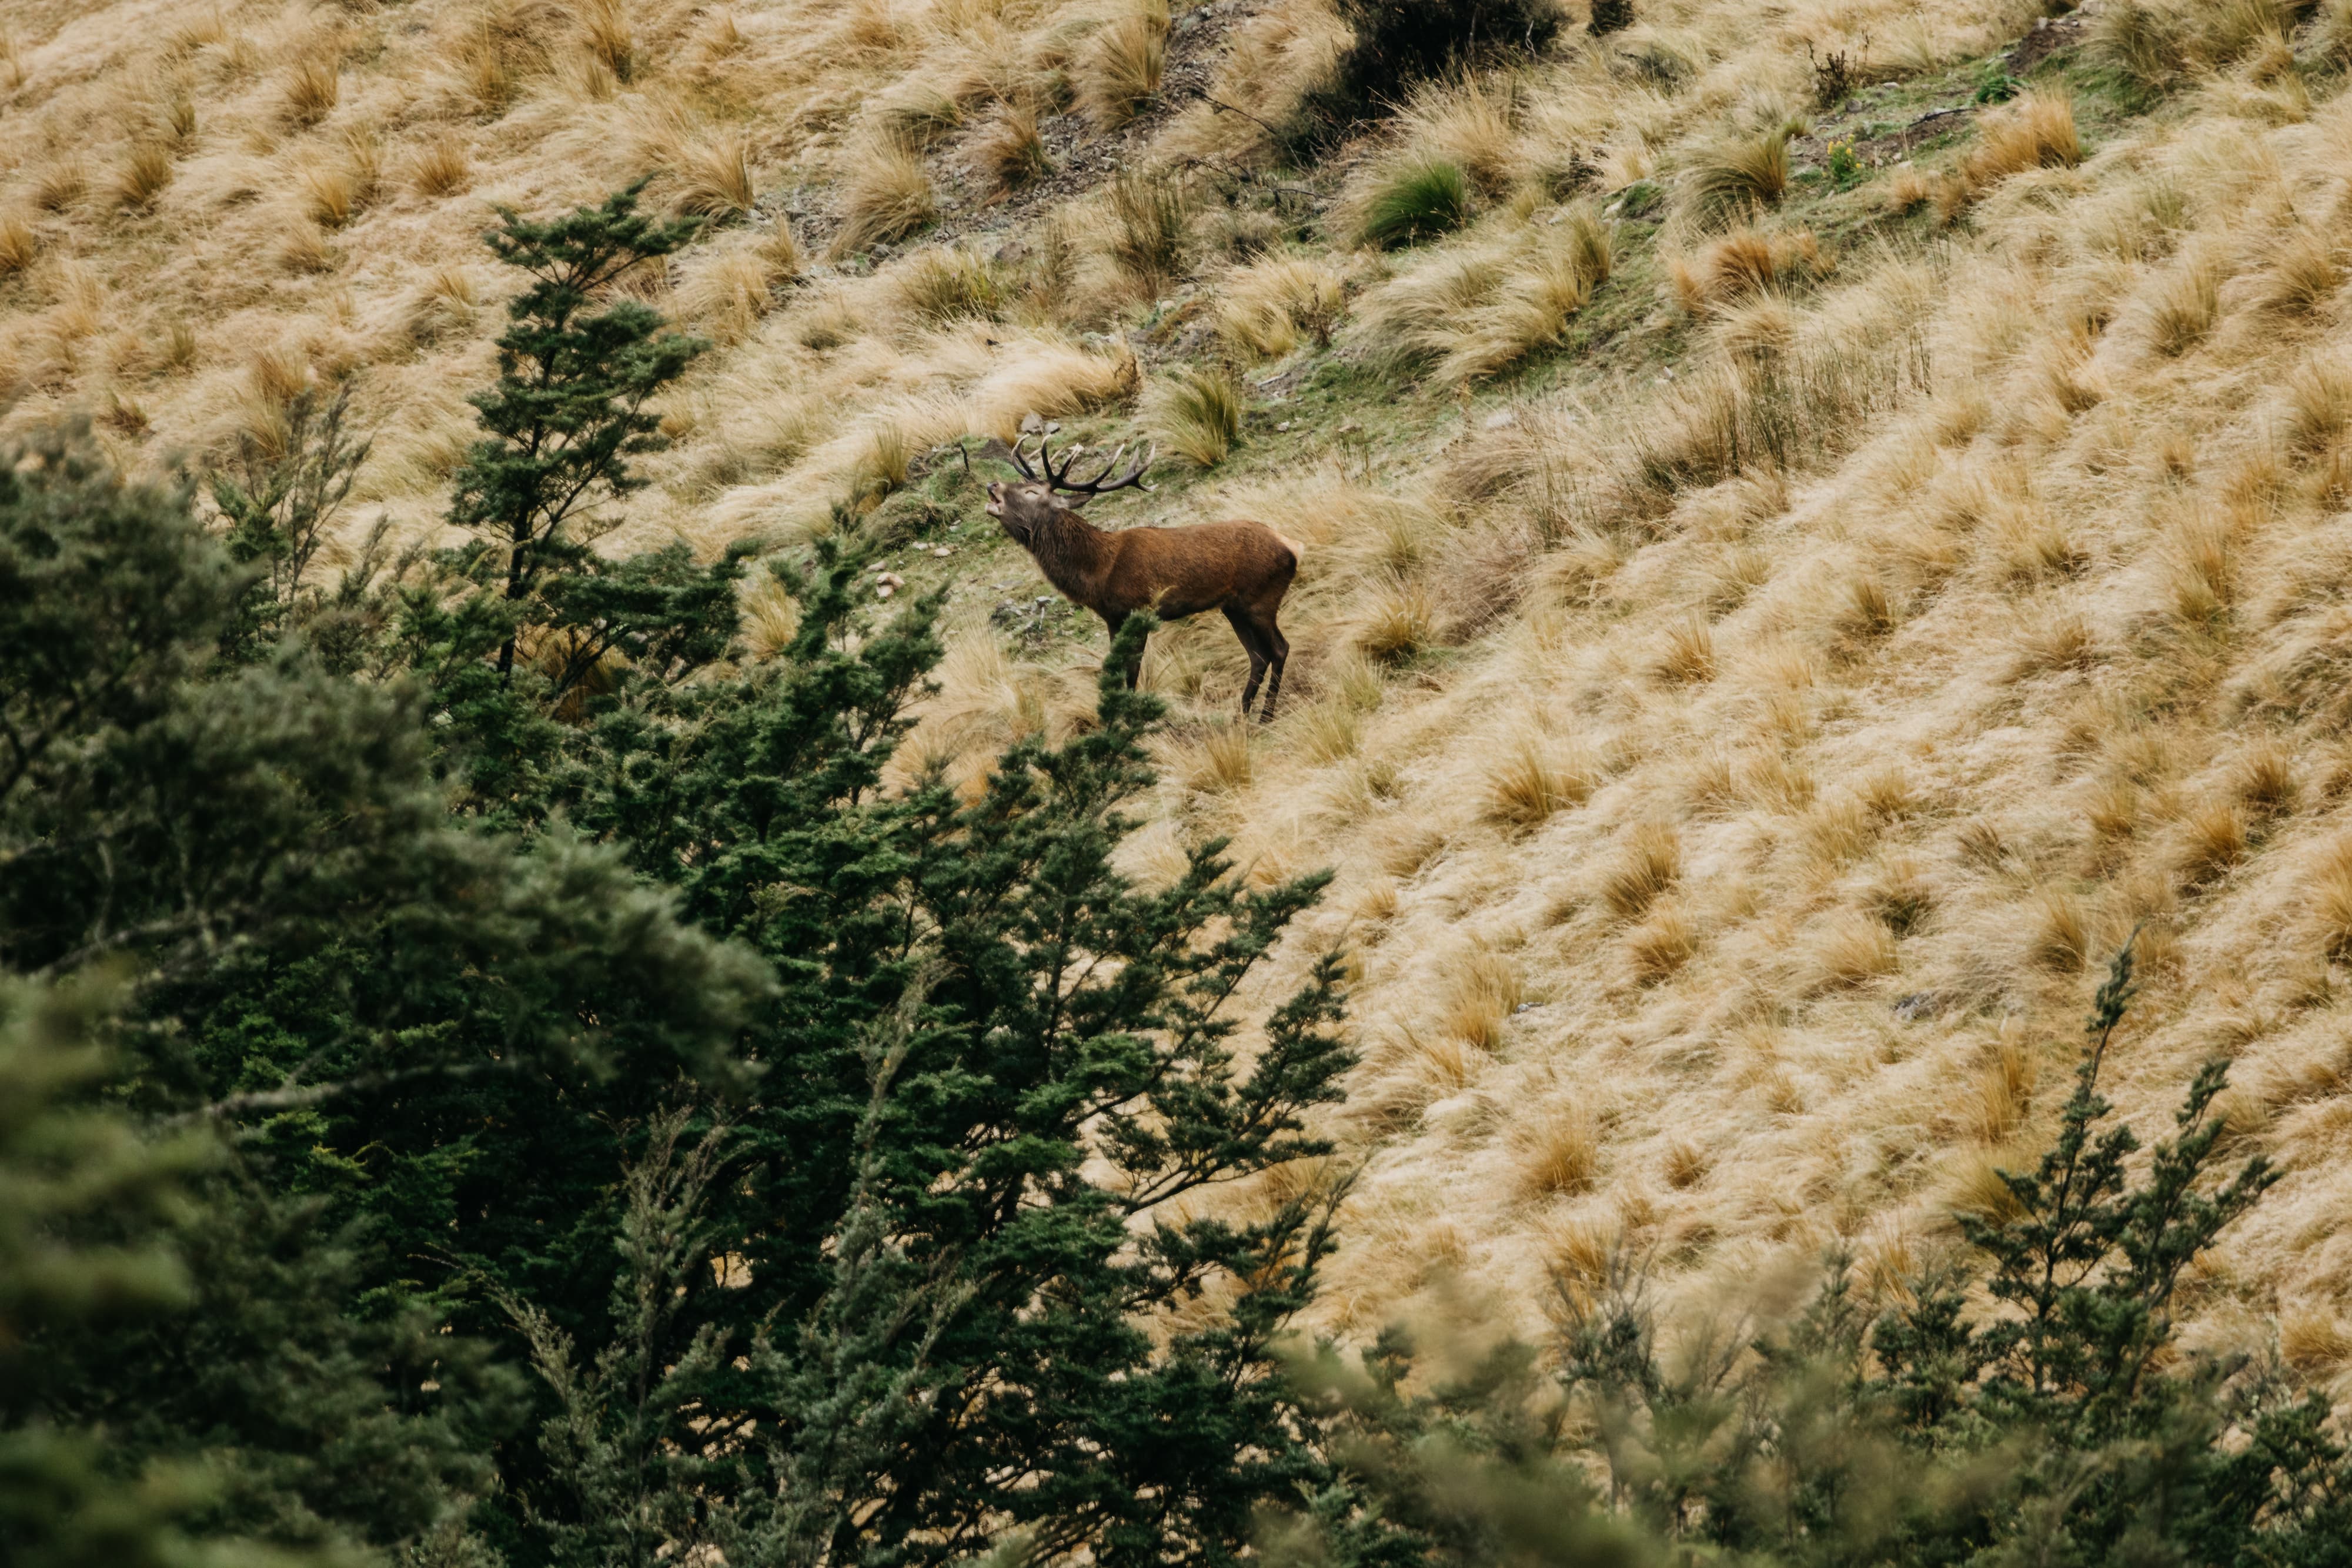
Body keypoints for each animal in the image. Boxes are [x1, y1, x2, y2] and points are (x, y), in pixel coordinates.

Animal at [977, 434, 1303, 721]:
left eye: (1031, 493)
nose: (993, 484)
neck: (1099, 573)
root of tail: (1292, 547)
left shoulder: (1137, 610)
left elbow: (1132, 672)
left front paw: (1128, 720)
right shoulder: (1113, 618)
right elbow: (1116, 669)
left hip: (1261, 598)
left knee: (1279, 649)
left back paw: (1266, 716)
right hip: (1234, 607)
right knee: (1258, 657)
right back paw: (1241, 715)